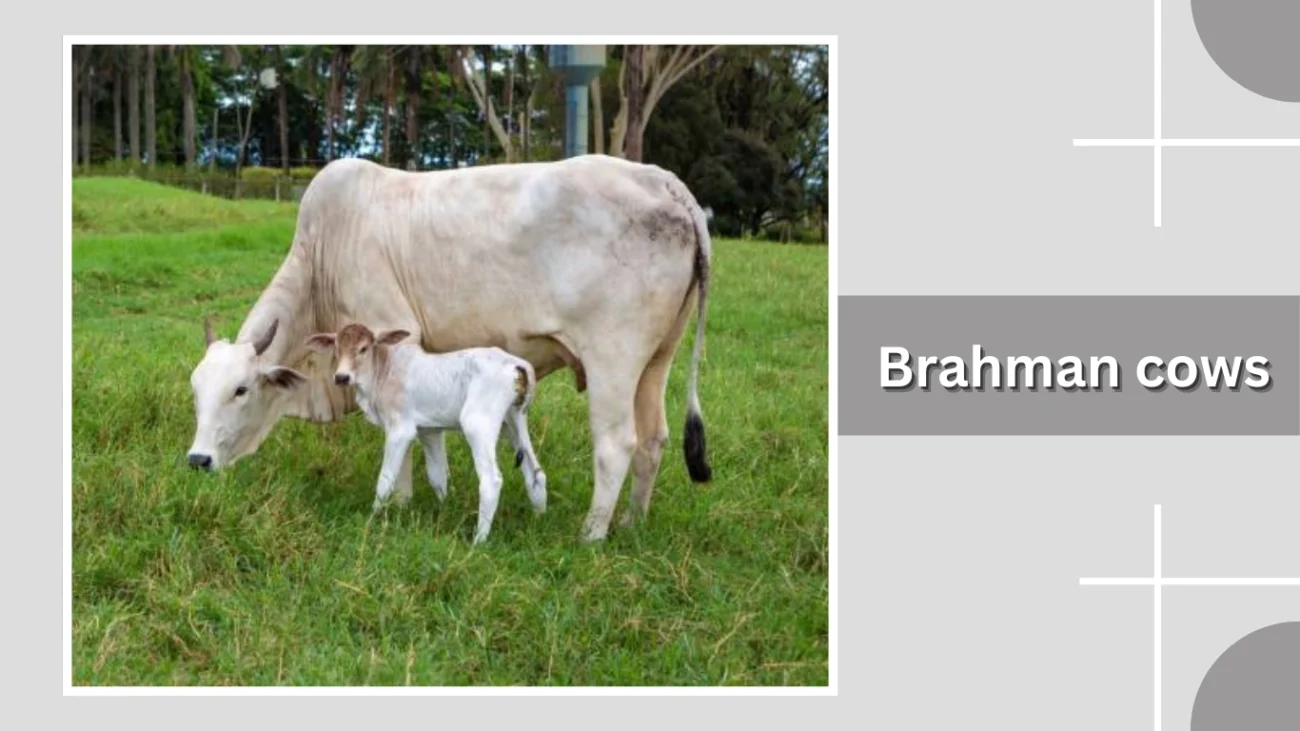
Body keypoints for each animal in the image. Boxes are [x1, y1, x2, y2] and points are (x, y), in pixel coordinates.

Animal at [185, 154, 713, 542]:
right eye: (196, 391)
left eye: (240, 390)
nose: (198, 460)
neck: (320, 256)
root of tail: (666, 182)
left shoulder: (390, 334)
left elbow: (397, 450)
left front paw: (397, 506)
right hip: (657, 360)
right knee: (653, 439)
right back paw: (632, 523)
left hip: (613, 360)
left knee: (615, 444)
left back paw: (591, 534)